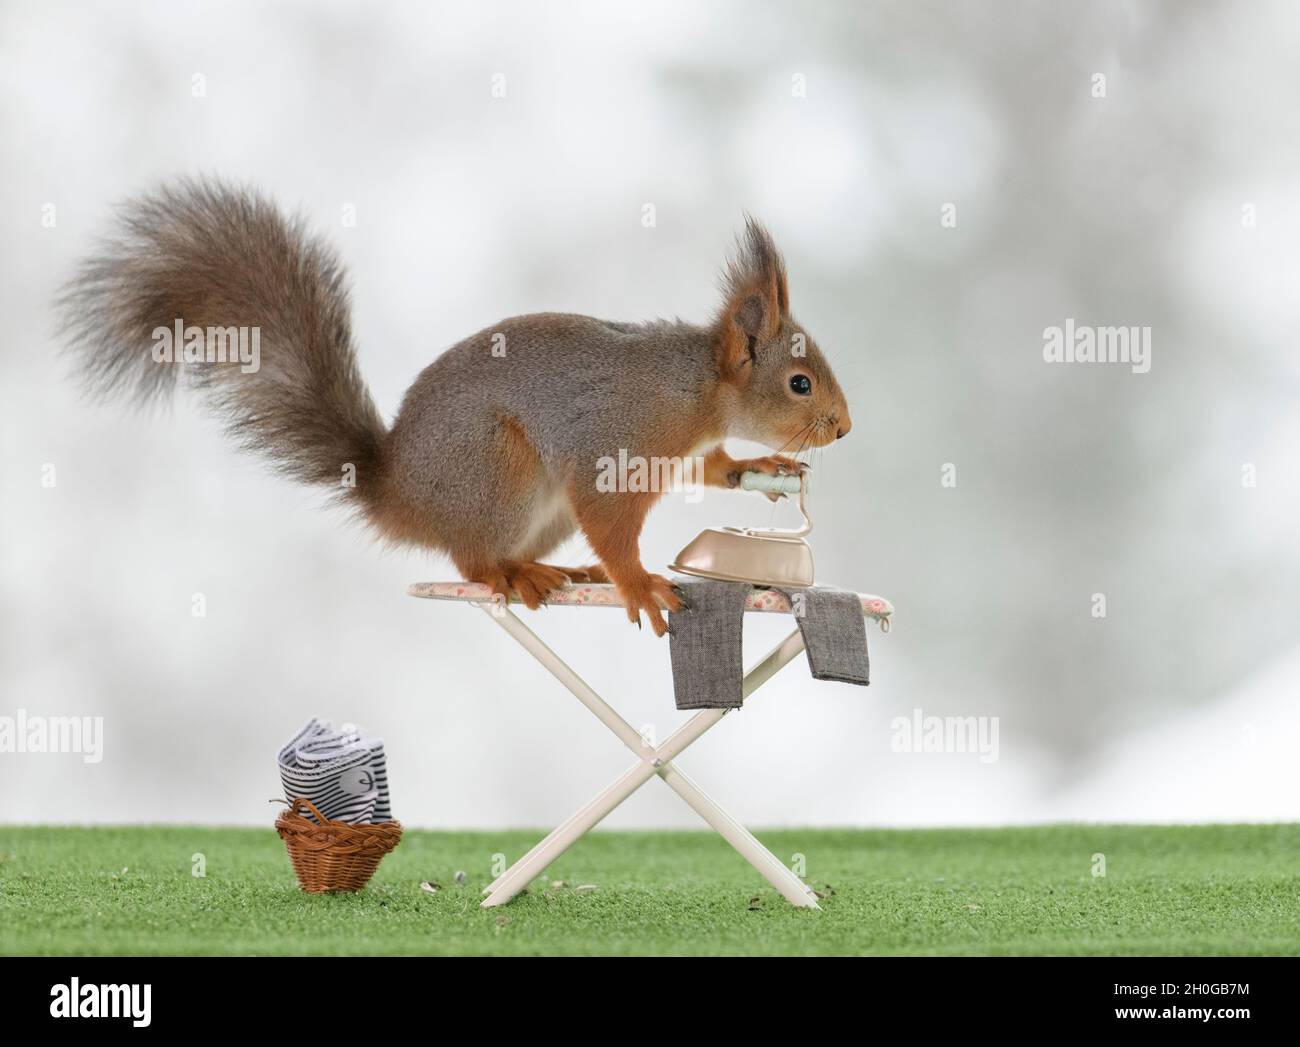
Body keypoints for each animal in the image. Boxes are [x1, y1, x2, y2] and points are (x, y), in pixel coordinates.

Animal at [59, 180, 852, 636]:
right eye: (800, 383)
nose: (844, 428)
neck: (695, 392)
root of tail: (397, 492)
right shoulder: (617, 442)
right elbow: (612, 522)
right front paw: (638, 584)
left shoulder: (688, 449)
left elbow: (714, 468)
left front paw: (765, 465)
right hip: (498, 468)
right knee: (470, 560)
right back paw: (515, 575)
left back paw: (559, 573)